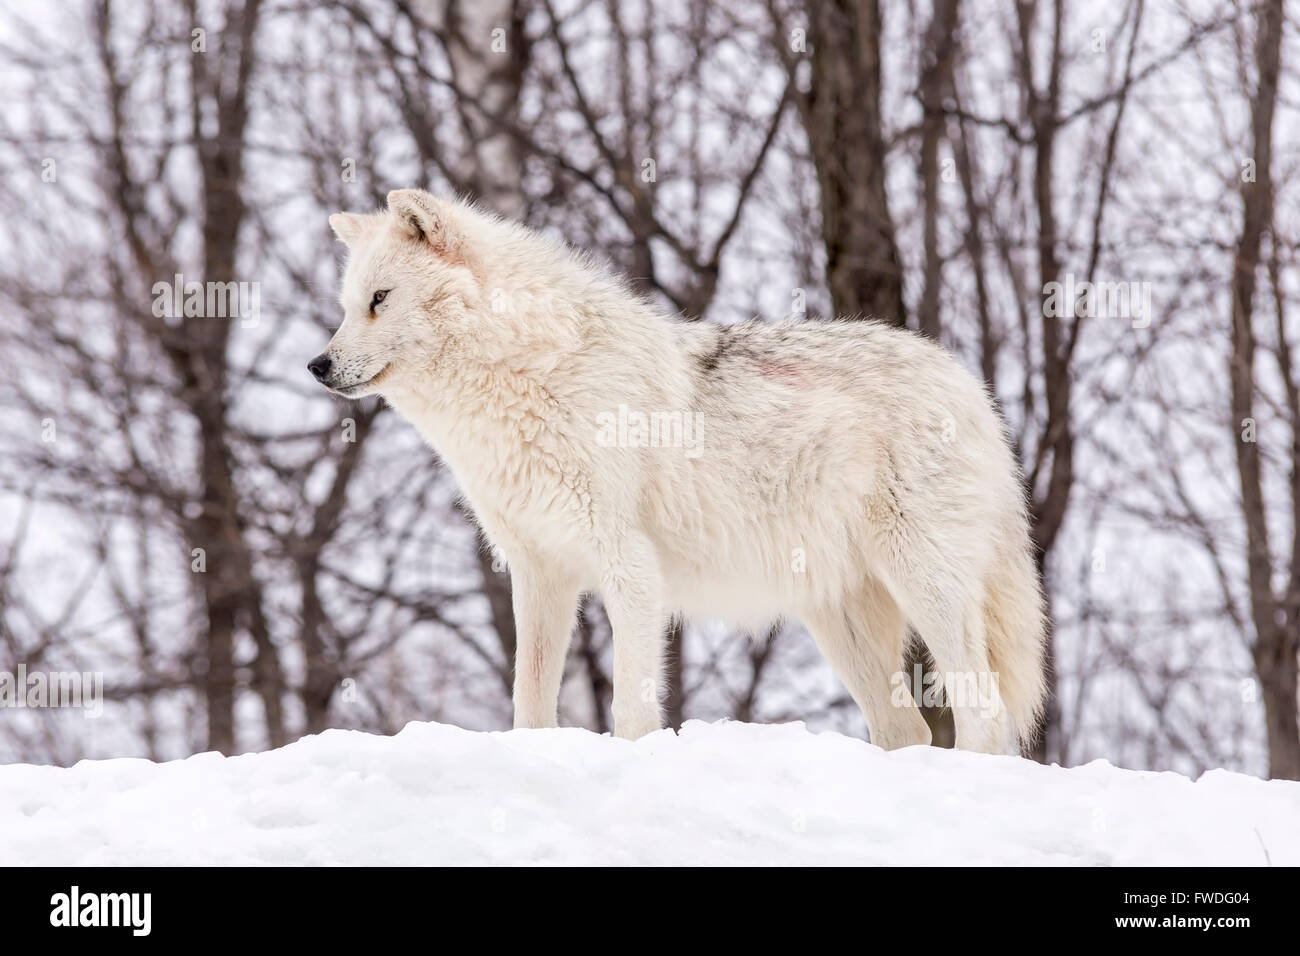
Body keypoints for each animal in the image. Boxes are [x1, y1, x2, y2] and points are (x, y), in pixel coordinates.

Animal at [310, 189, 1047, 753]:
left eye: (380, 298)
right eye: (347, 306)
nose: (317, 365)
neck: (529, 378)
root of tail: (970, 387)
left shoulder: (629, 568)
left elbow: (633, 709)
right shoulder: (539, 574)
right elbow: (529, 701)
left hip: (925, 585)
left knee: (983, 716)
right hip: (840, 623)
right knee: (909, 731)